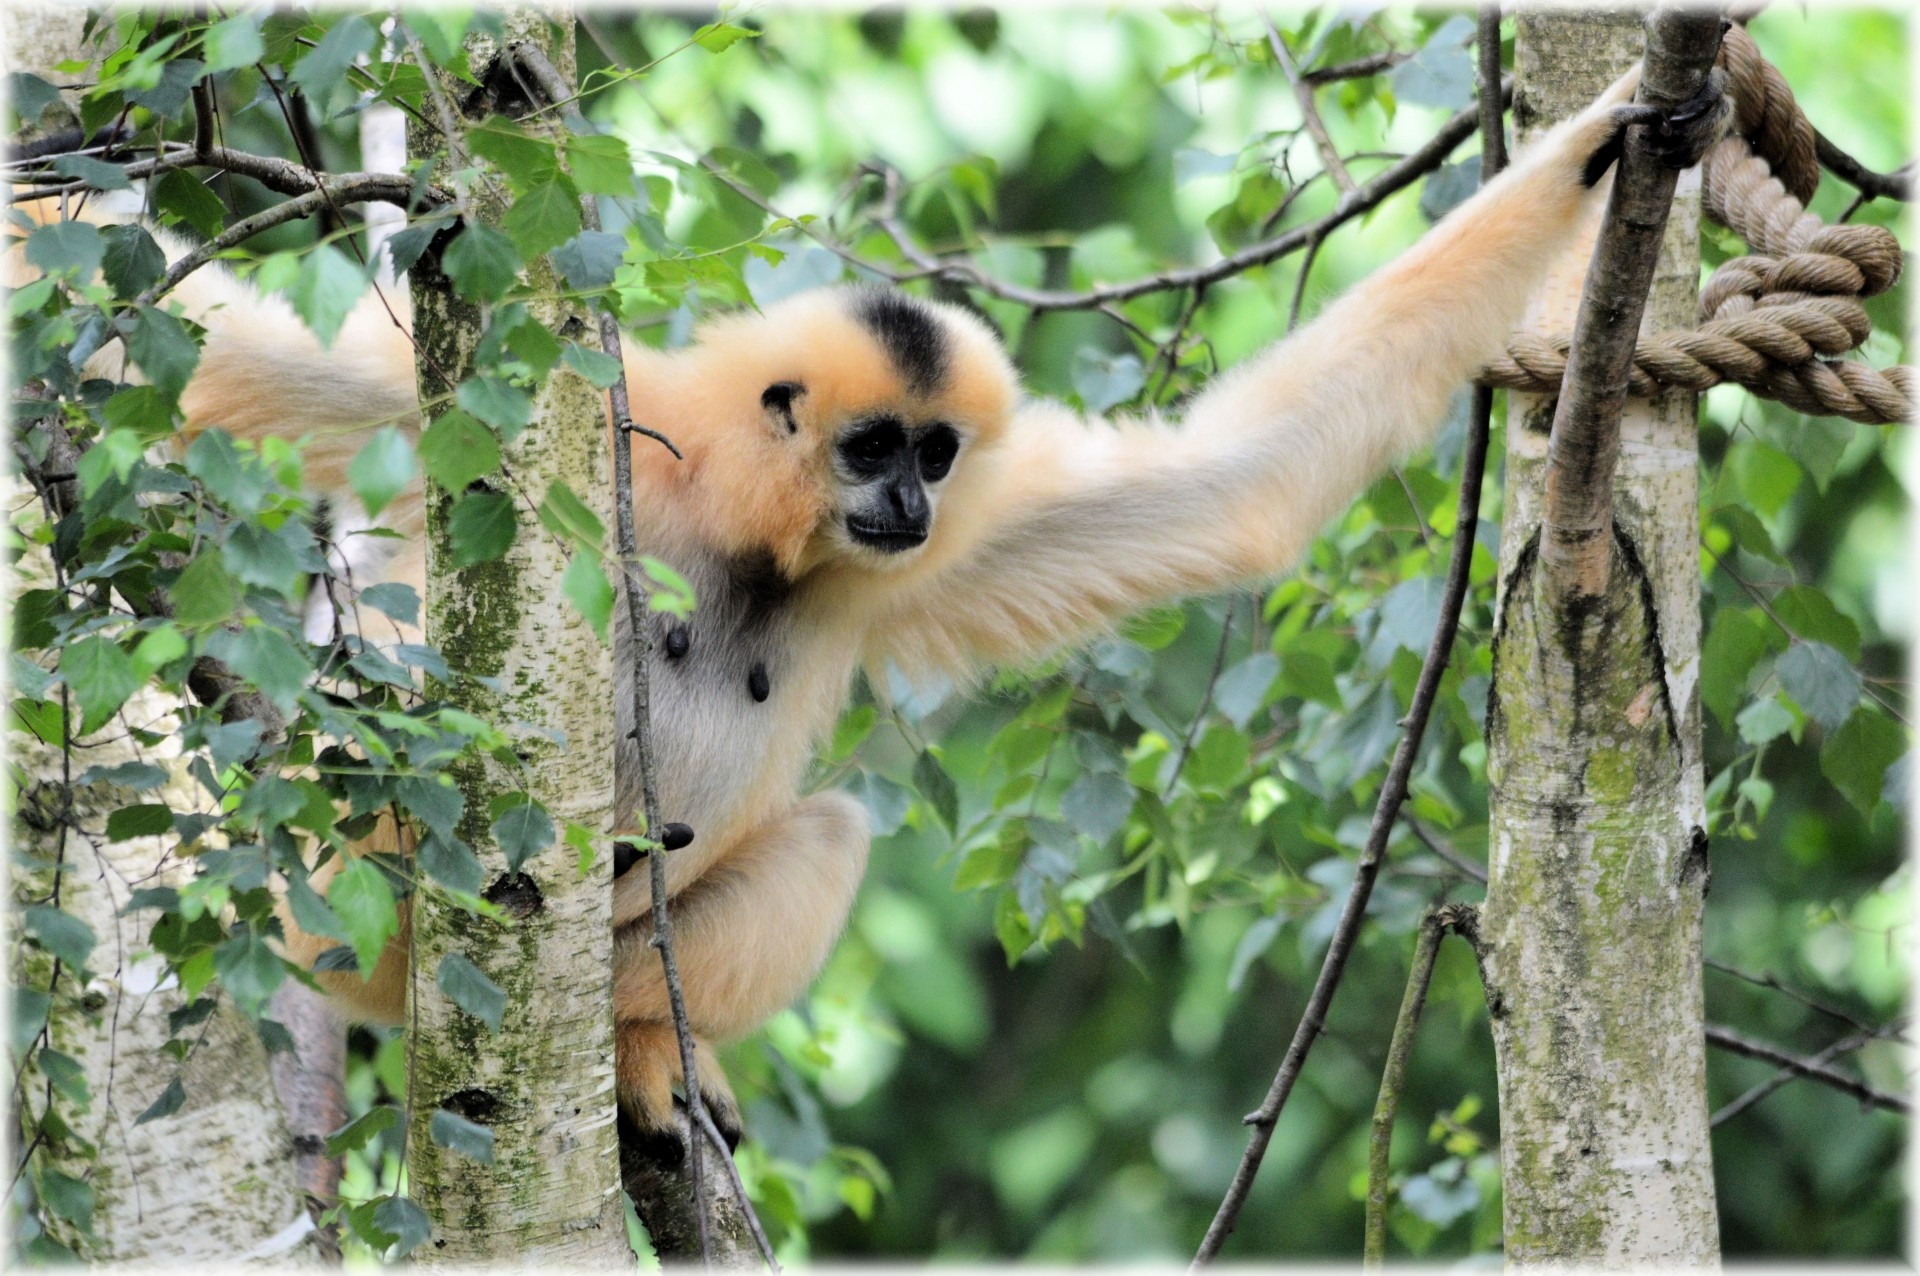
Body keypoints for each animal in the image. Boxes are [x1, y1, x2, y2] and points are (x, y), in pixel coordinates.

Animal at [8, 61, 1727, 1157]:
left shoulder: (947, 546)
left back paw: (643, 1047)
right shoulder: (503, 416)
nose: (905, 499)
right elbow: (231, 364)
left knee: (825, 832)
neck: (735, 522)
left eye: (935, 453)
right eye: (871, 445)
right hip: (337, 918)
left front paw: (1603, 145)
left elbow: (1236, 488)